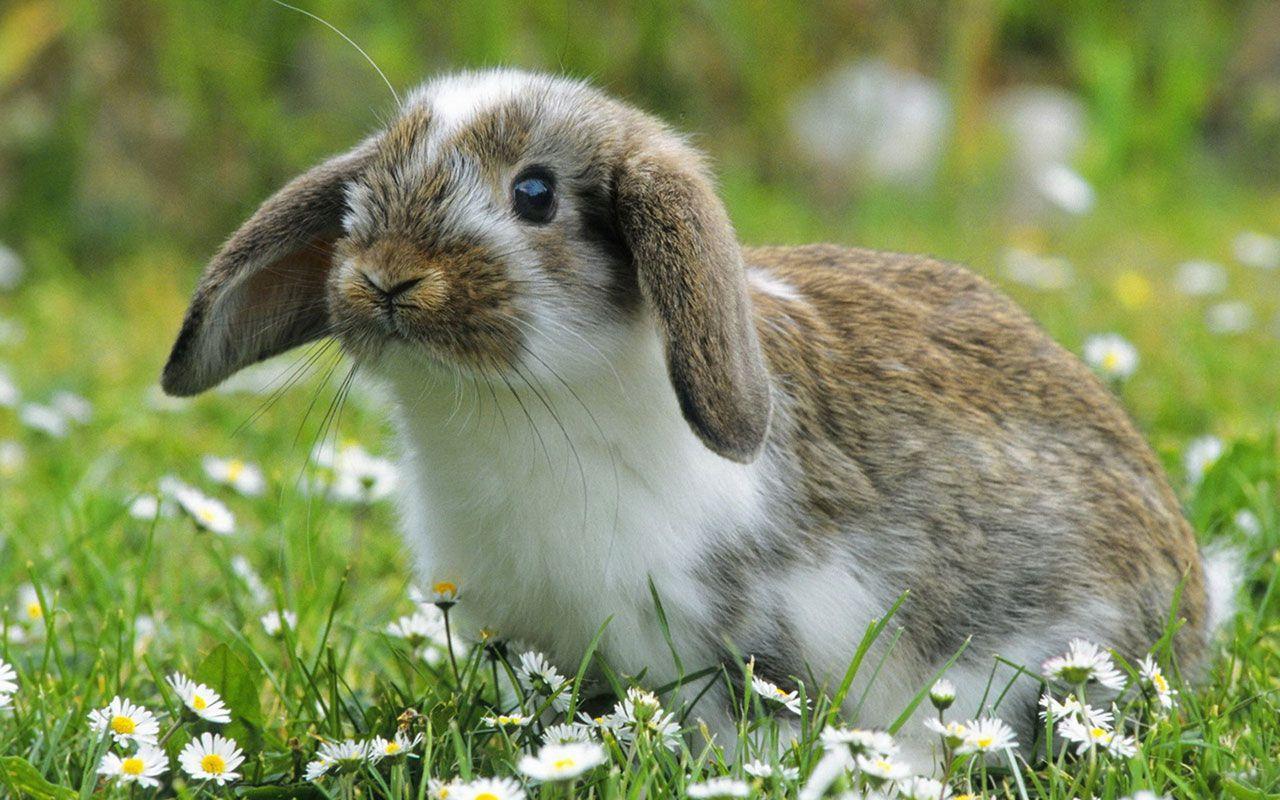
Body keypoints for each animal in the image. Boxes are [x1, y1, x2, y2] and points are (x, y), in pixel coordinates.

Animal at [161, 69, 1238, 767]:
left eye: (535, 193)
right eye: (364, 189)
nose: (385, 277)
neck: (518, 407)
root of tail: (1195, 597)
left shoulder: (750, 643)